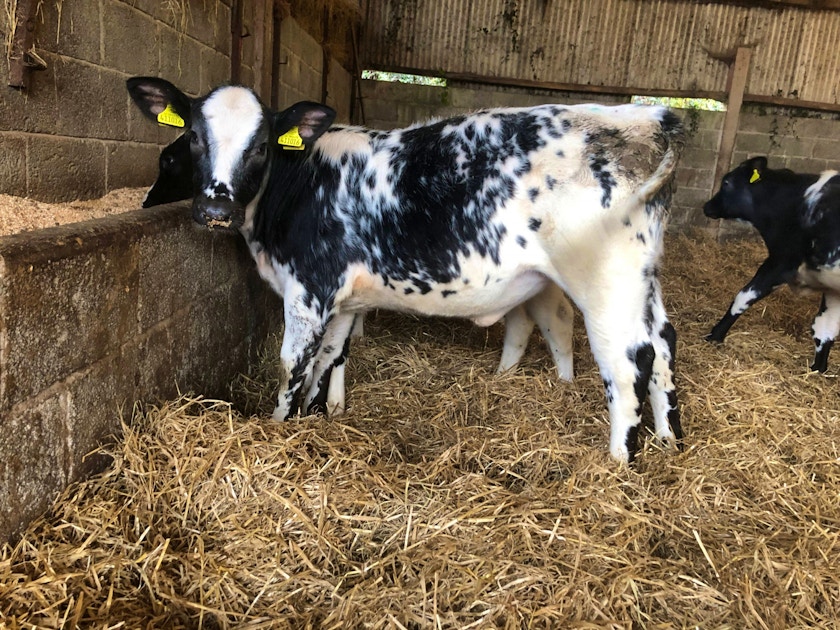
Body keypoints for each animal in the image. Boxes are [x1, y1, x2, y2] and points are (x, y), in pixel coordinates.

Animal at [127, 76, 684, 462]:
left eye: (261, 145)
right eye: (193, 137)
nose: (215, 208)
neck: (298, 186)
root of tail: (650, 118)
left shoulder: (309, 290)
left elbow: (293, 364)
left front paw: (278, 429)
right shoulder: (344, 298)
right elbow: (331, 356)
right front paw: (319, 417)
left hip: (605, 283)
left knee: (628, 361)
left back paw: (619, 462)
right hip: (643, 279)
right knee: (662, 344)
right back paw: (670, 440)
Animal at [704, 156, 840, 372]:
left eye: (726, 183)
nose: (707, 206)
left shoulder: (781, 261)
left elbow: (743, 298)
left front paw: (715, 335)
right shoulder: (832, 286)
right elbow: (826, 327)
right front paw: (817, 370)